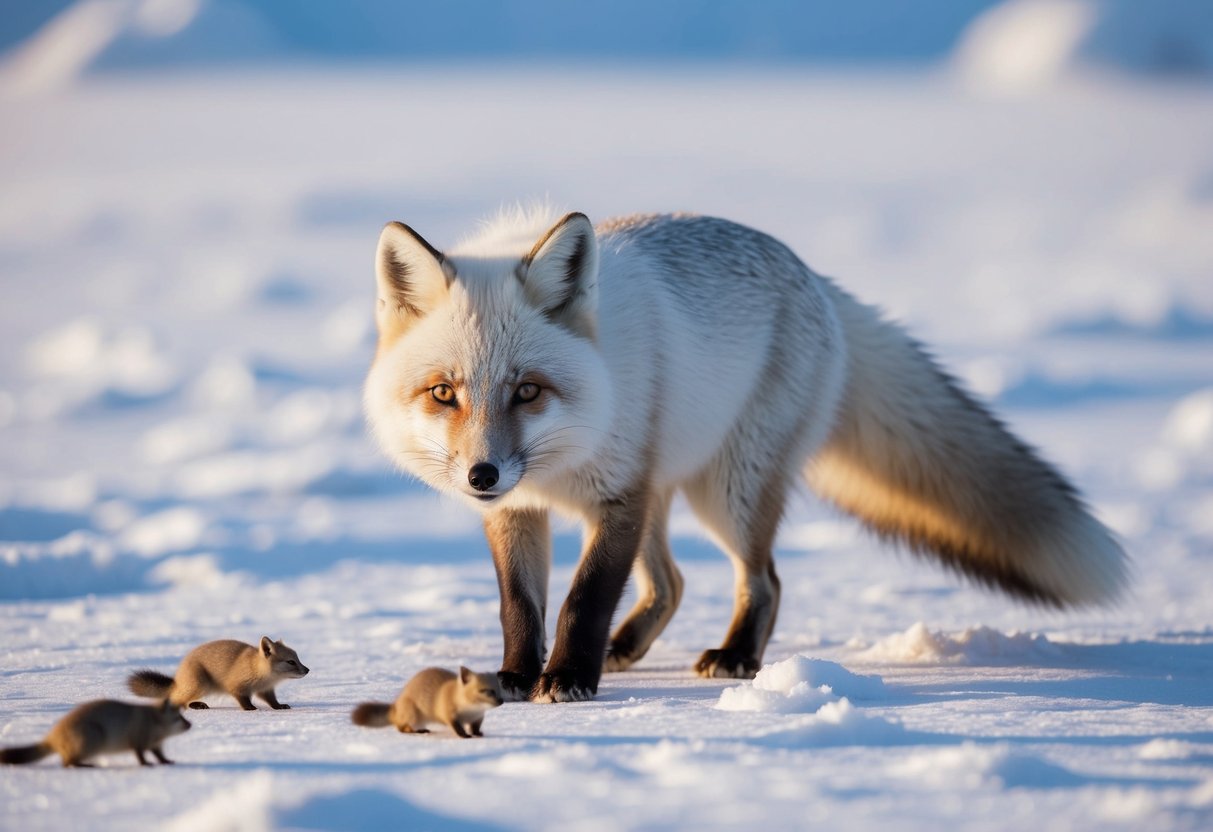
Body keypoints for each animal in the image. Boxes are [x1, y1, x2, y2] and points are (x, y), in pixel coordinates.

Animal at [0, 699, 190, 767]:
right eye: (178, 717)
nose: (190, 724)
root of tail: (52, 737)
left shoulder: (155, 744)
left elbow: (159, 755)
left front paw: (166, 761)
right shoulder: (139, 740)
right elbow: (140, 755)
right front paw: (146, 764)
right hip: (91, 738)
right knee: (66, 762)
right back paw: (85, 765)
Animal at [128, 636, 309, 711]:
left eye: (297, 658)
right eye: (291, 661)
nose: (307, 670)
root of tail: (178, 678)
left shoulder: (265, 690)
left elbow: (273, 702)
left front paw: (280, 707)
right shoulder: (236, 687)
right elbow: (243, 700)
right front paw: (250, 708)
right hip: (199, 684)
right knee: (176, 699)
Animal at [351, 667, 504, 738]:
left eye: (500, 689)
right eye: (487, 690)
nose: (501, 701)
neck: (471, 710)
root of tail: (395, 707)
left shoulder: (478, 717)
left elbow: (475, 728)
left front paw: (477, 734)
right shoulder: (450, 716)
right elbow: (457, 728)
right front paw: (465, 736)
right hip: (412, 714)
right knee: (400, 727)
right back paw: (418, 731)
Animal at [363, 207, 1129, 704]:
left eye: (527, 390)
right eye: (443, 393)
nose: (481, 473)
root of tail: (811, 274)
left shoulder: (617, 494)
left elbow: (585, 598)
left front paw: (570, 678)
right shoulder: (523, 510)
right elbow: (519, 606)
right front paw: (520, 676)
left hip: (726, 491)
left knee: (764, 581)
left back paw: (734, 656)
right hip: (664, 492)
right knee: (670, 584)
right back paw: (628, 647)